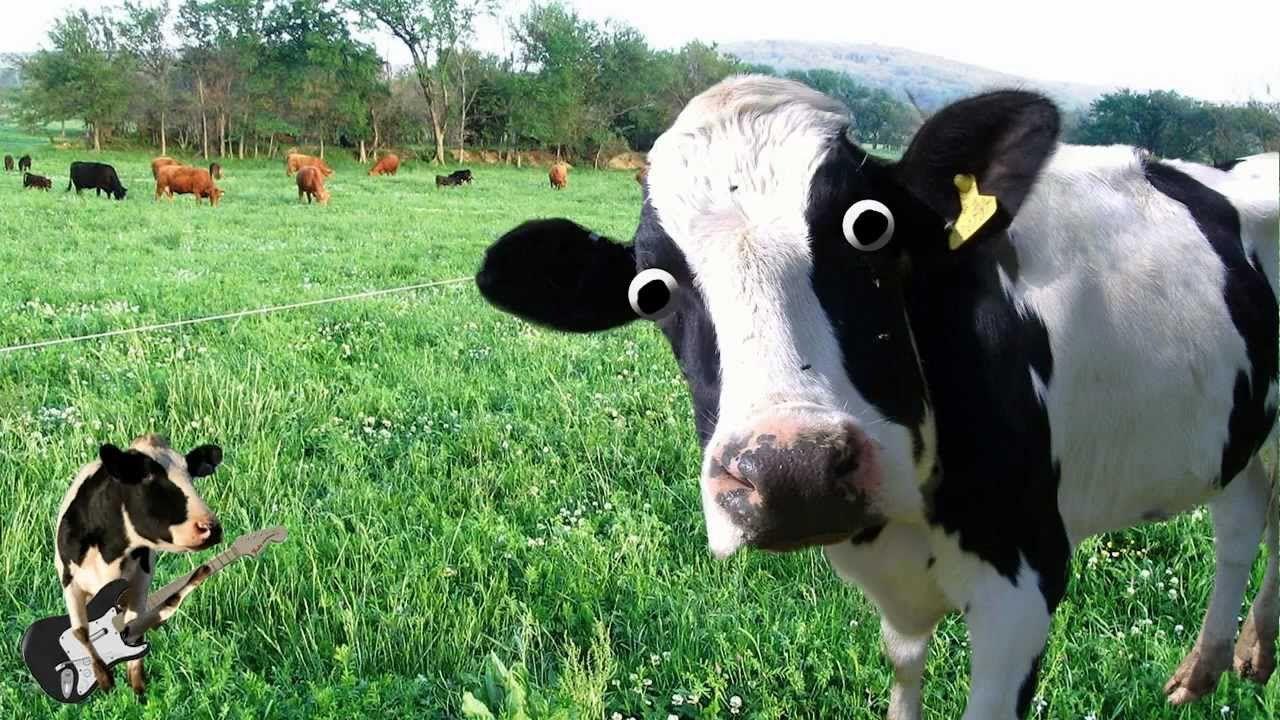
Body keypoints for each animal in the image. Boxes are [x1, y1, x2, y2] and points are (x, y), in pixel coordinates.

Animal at [55, 434, 223, 697]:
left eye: (190, 475)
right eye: (146, 476)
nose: (210, 528)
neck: (111, 555)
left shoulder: (139, 585)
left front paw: (138, 689)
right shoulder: (70, 583)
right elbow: (80, 632)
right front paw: (105, 681)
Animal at [475, 76, 1280, 720]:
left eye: (871, 227)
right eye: (651, 292)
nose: (791, 473)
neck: (903, 527)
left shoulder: (1025, 580)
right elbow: (904, 668)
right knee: (1244, 518)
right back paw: (1219, 664)